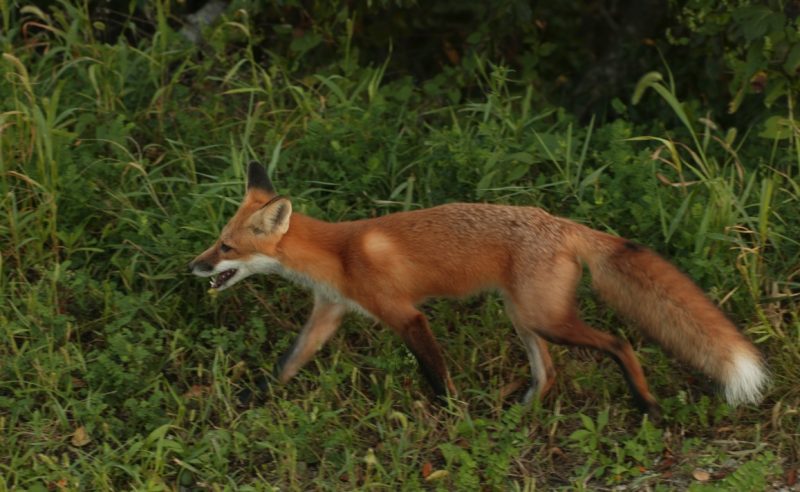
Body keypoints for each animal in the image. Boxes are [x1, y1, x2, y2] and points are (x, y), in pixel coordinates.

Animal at [189, 161, 768, 415]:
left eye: (225, 246)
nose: (193, 266)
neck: (338, 254)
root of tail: (561, 223)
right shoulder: (328, 314)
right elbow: (284, 367)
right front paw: (244, 403)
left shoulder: (406, 315)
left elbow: (436, 375)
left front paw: (452, 420)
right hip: (524, 318)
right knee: (548, 374)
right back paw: (517, 415)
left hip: (544, 320)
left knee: (619, 342)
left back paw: (645, 405)